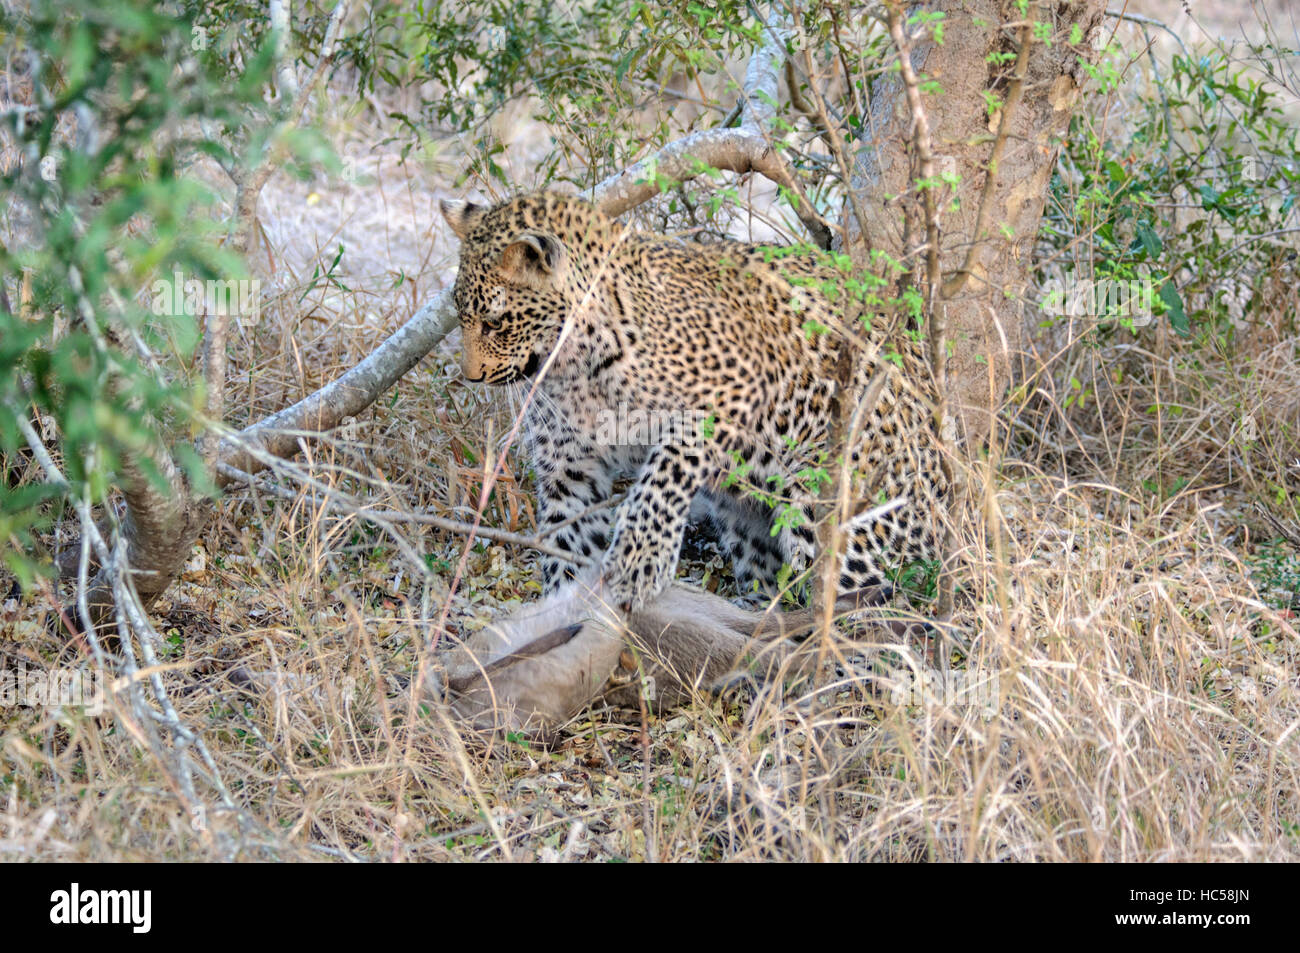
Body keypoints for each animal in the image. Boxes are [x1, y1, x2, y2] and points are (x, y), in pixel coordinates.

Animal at [440, 191, 947, 616]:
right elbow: (567, 536)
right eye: (461, 314)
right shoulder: (567, 461)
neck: (575, 367)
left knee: (869, 601)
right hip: (744, 517)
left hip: (831, 491)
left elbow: (664, 473)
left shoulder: (734, 391)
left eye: (495, 322)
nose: (471, 376)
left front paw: (638, 563)